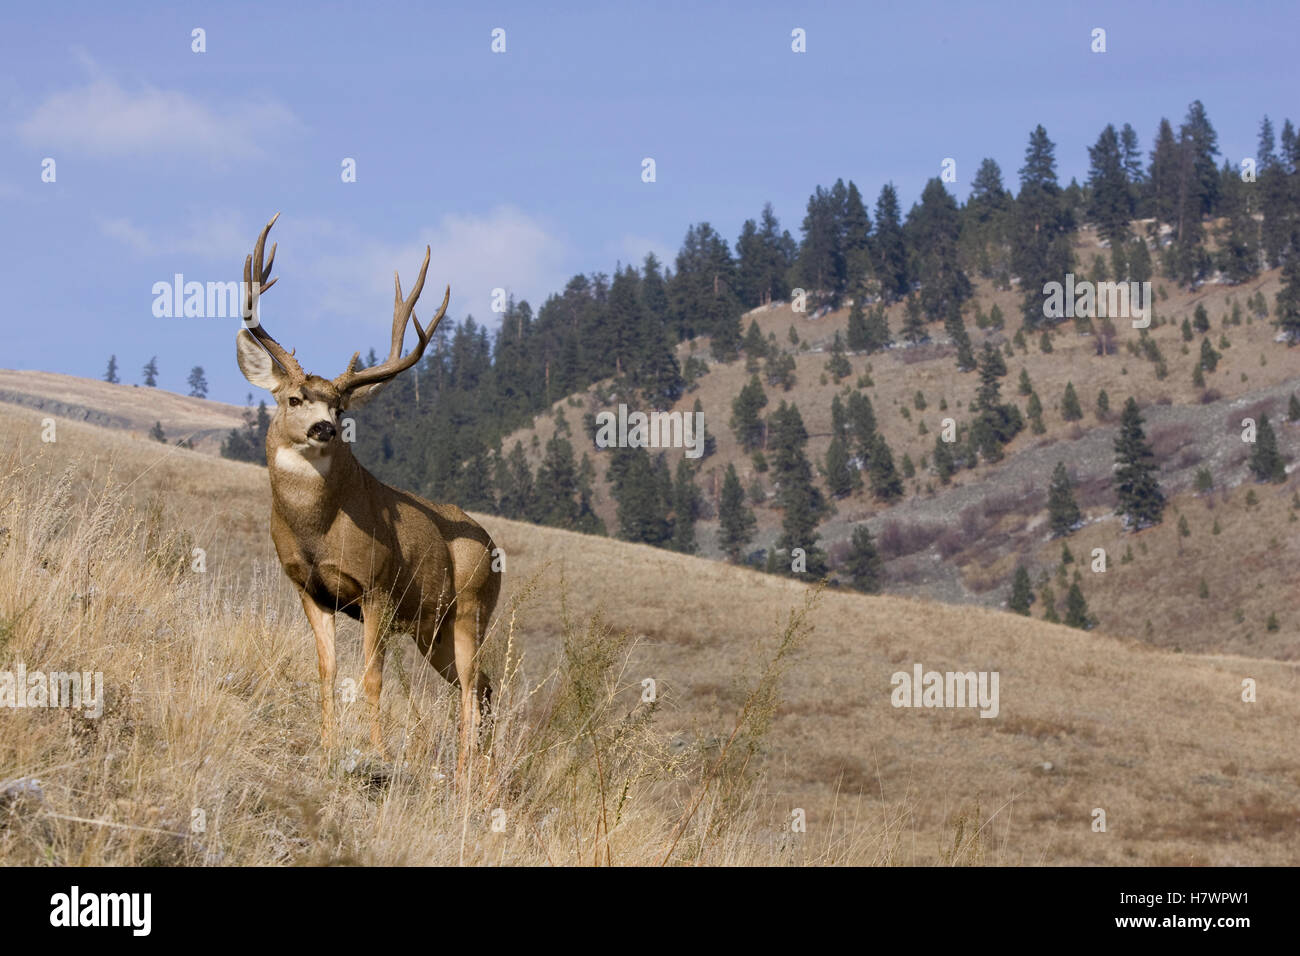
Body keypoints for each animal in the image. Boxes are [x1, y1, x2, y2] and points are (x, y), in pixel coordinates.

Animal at [233, 213, 501, 782]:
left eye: (340, 405)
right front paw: (327, 744)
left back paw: (466, 774)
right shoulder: (310, 589)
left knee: (473, 689)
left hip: (470, 608)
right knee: (485, 687)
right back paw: (482, 773)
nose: (324, 428)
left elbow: (372, 677)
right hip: (432, 630)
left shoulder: (379, 587)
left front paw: (376, 752)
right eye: (294, 398)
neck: (318, 529)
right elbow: (327, 670)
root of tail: (493, 546)